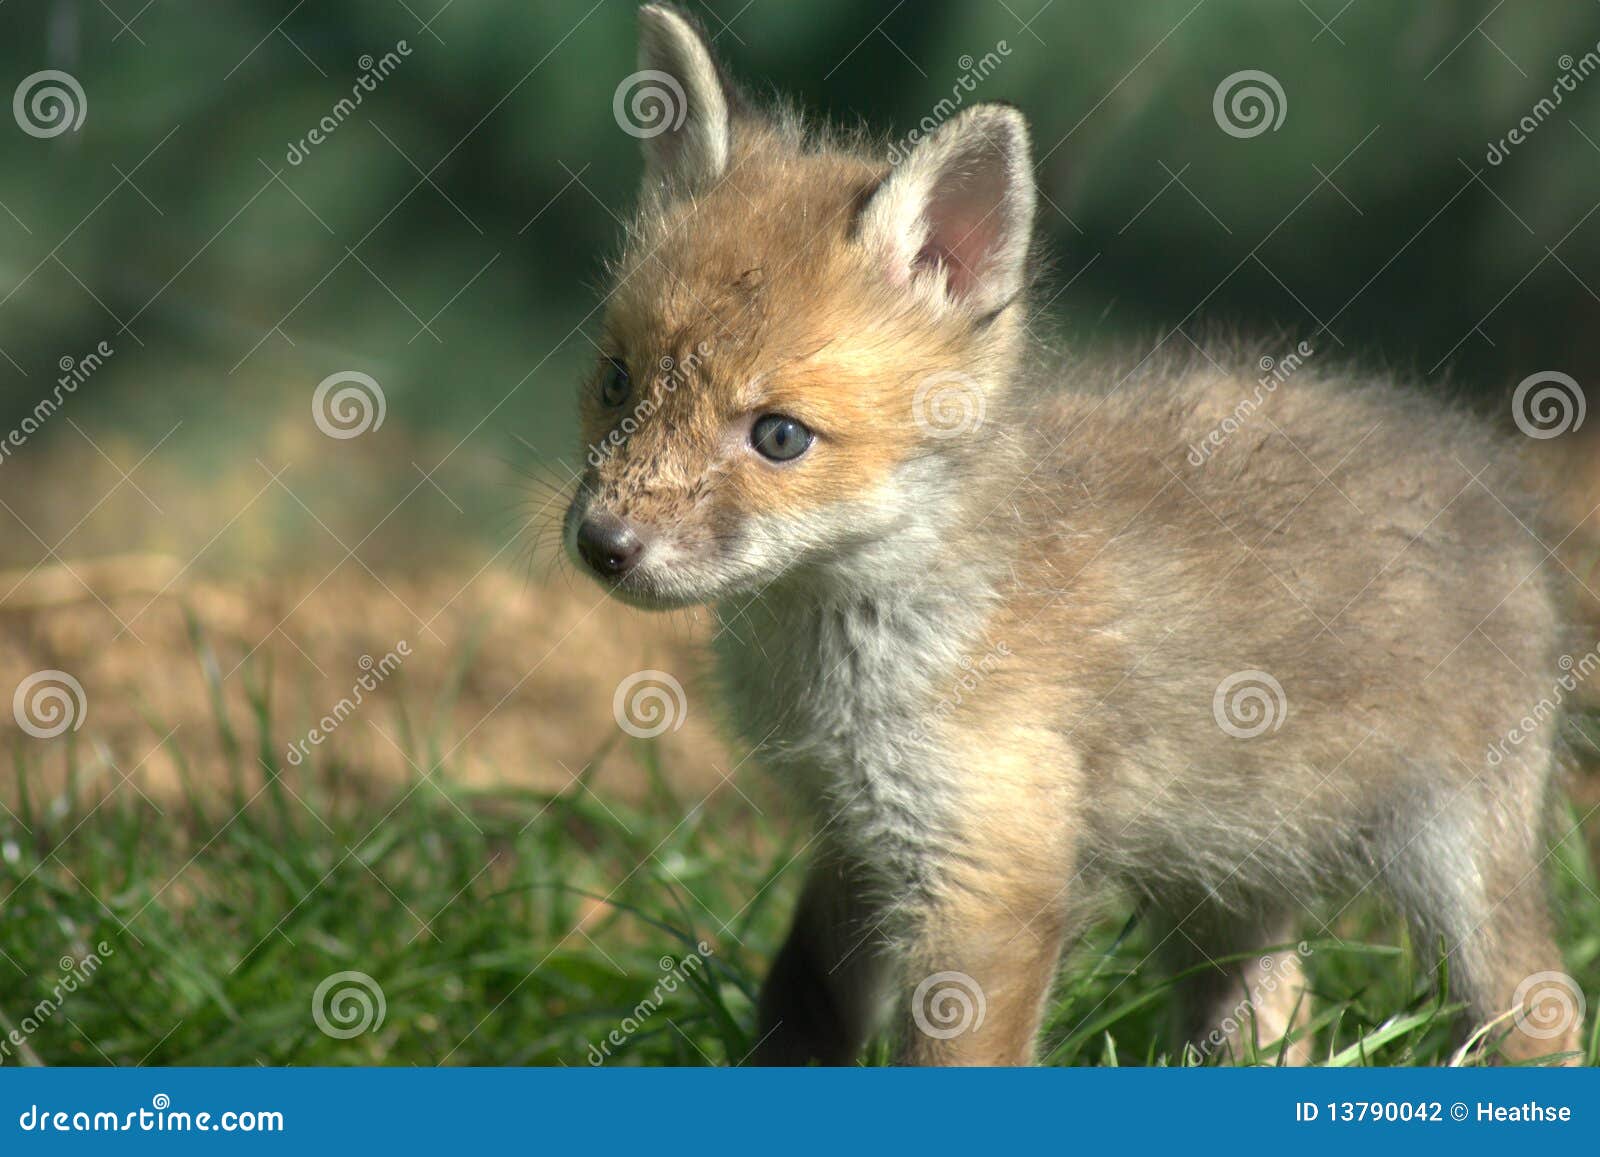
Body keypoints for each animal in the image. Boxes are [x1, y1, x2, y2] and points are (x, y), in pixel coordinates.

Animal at [564, 4, 1596, 1065]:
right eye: (616, 382)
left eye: (778, 436)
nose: (602, 542)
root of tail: (1494, 477)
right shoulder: (858, 844)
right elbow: (796, 1006)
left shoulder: (988, 879)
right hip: (1221, 881)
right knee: (1281, 1010)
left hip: (1457, 863)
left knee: (1549, 1005)